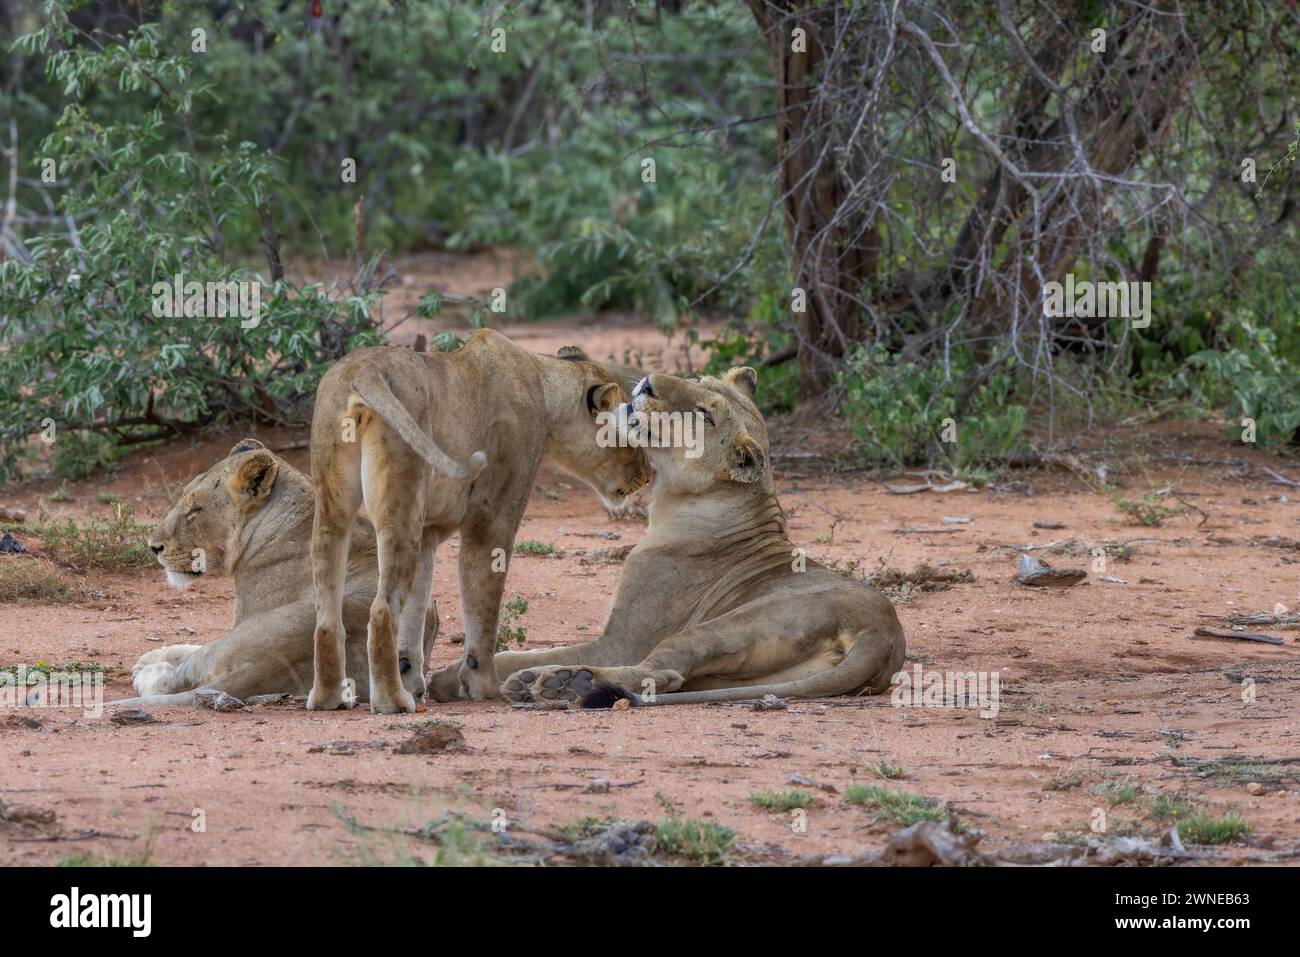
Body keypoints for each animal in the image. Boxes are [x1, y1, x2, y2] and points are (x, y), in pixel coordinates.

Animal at [115, 439, 433, 707]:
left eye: (195, 510)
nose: (153, 547)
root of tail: (270, 663)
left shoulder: (245, 616)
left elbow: (194, 653)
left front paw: (149, 663)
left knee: (188, 671)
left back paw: (149, 676)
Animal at [307, 330, 650, 714]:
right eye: (634, 427)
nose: (648, 476)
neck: (545, 390)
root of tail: (362, 369)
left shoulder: (428, 532)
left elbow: (416, 613)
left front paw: (414, 680)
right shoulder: (492, 518)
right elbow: (483, 606)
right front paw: (483, 686)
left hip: (333, 510)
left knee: (327, 614)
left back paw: (330, 697)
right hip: (401, 505)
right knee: (381, 610)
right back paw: (393, 701)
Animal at [428, 367, 906, 707]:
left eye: (705, 414)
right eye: (696, 381)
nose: (648, 383)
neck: (676, 499)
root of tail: (884, 633)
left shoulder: (621, 640)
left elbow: (521, 653)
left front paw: (459, 678)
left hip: (725, 625)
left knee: (663, 671)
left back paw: (558, 684)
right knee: (675, 680)